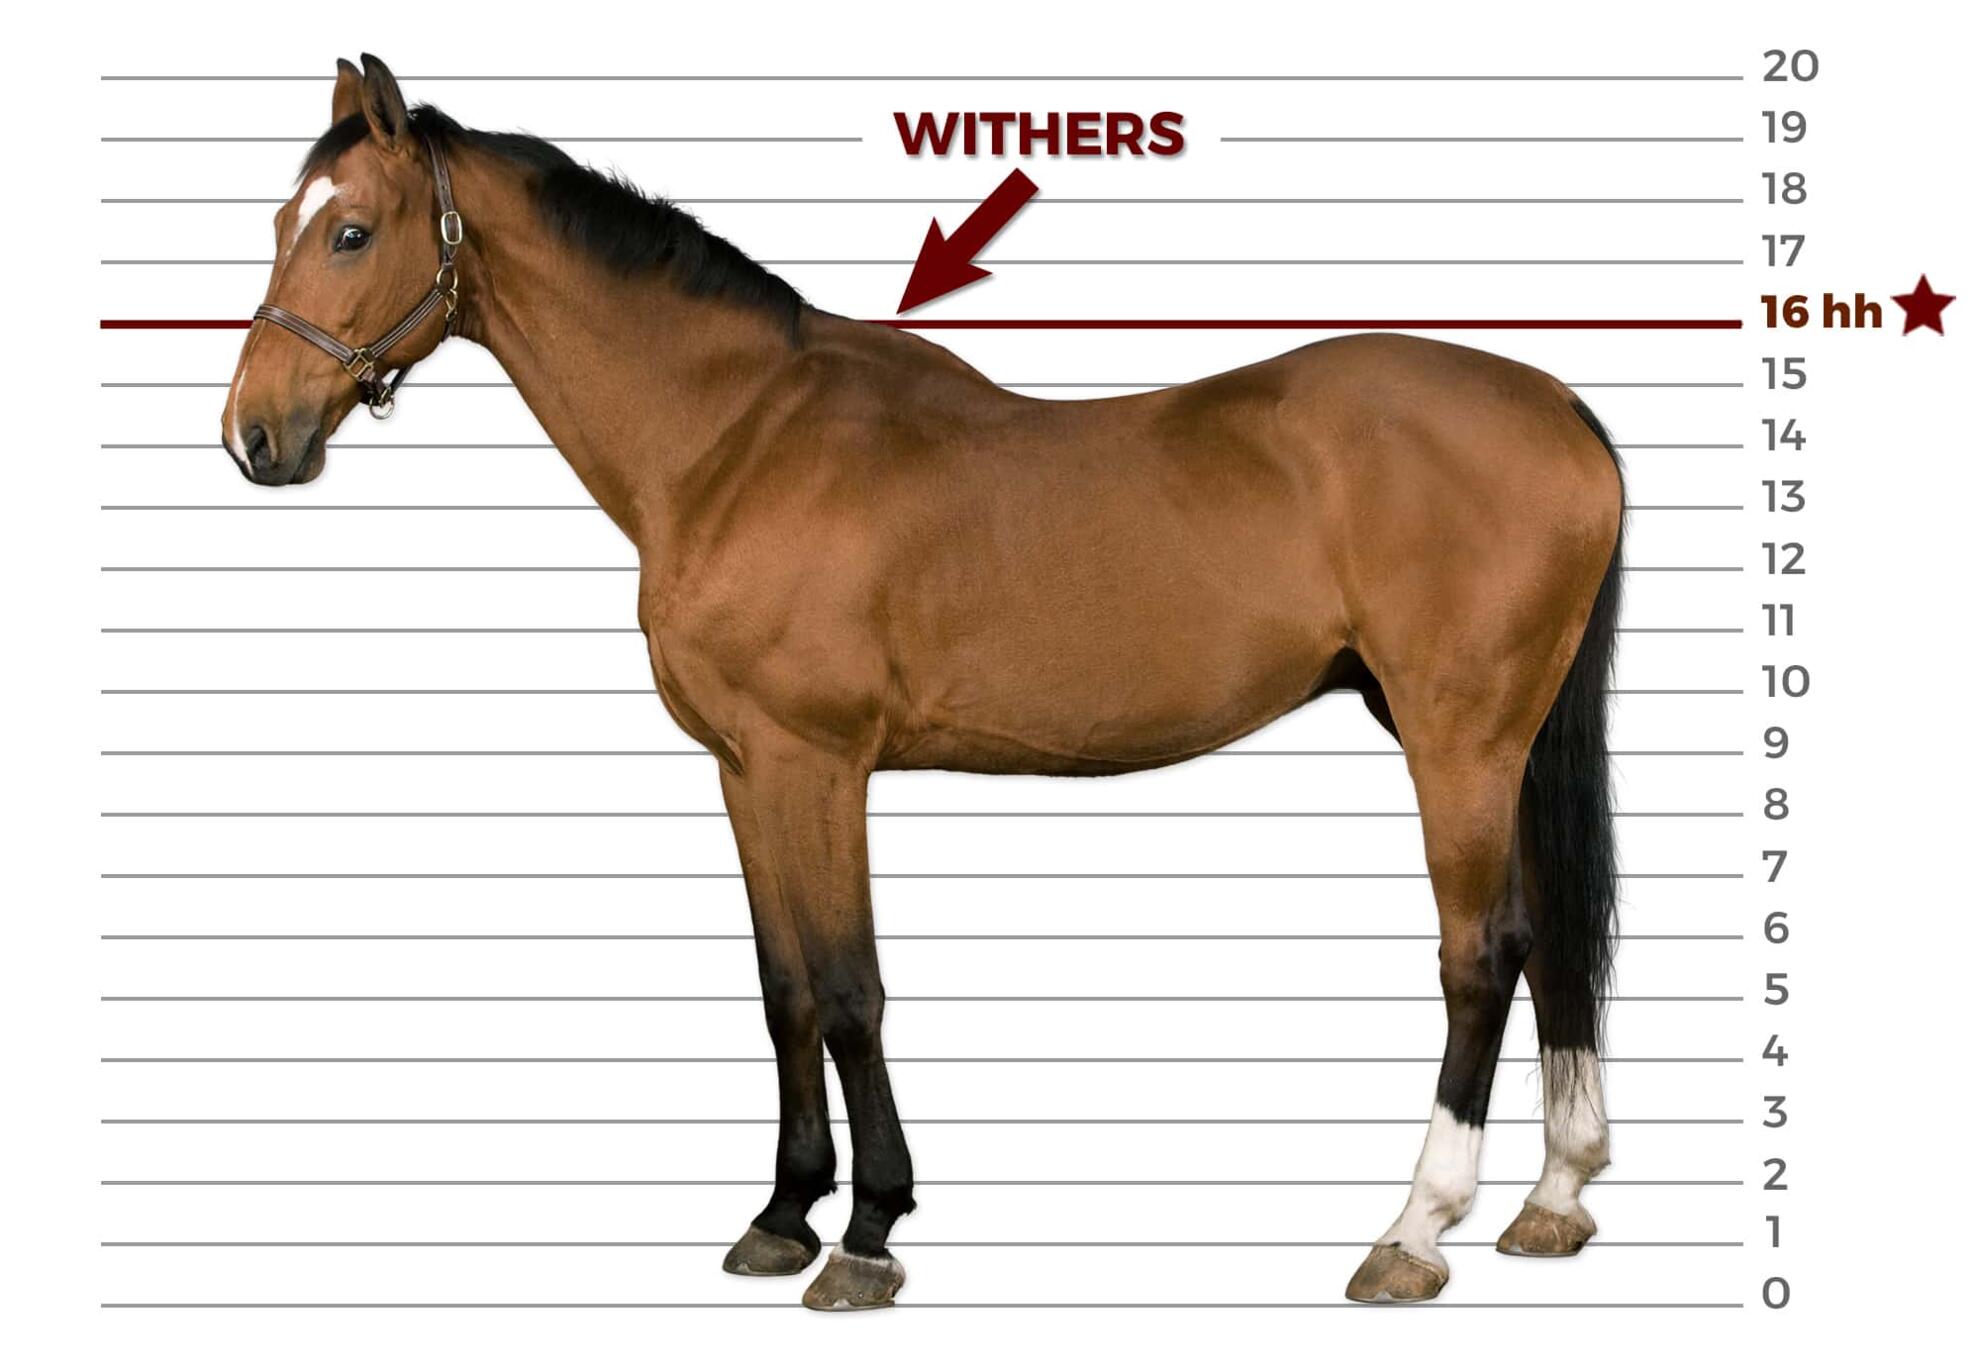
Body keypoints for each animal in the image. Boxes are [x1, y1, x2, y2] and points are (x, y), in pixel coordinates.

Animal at [219, 55, 1624, 1310]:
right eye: (283, 222)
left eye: (350, 230)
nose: (255, 436)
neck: (736, 440)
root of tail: (1556, 402)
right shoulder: (746, 771)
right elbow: (785, 989)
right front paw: (782, 1214)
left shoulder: (818, 762)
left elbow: (851, 991)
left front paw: (868, 1236)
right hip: (1505, 738)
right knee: (1551, 936)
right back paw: (1553, 1200)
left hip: (1455, 739)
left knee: (1480, 953)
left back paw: (1414, 1231)